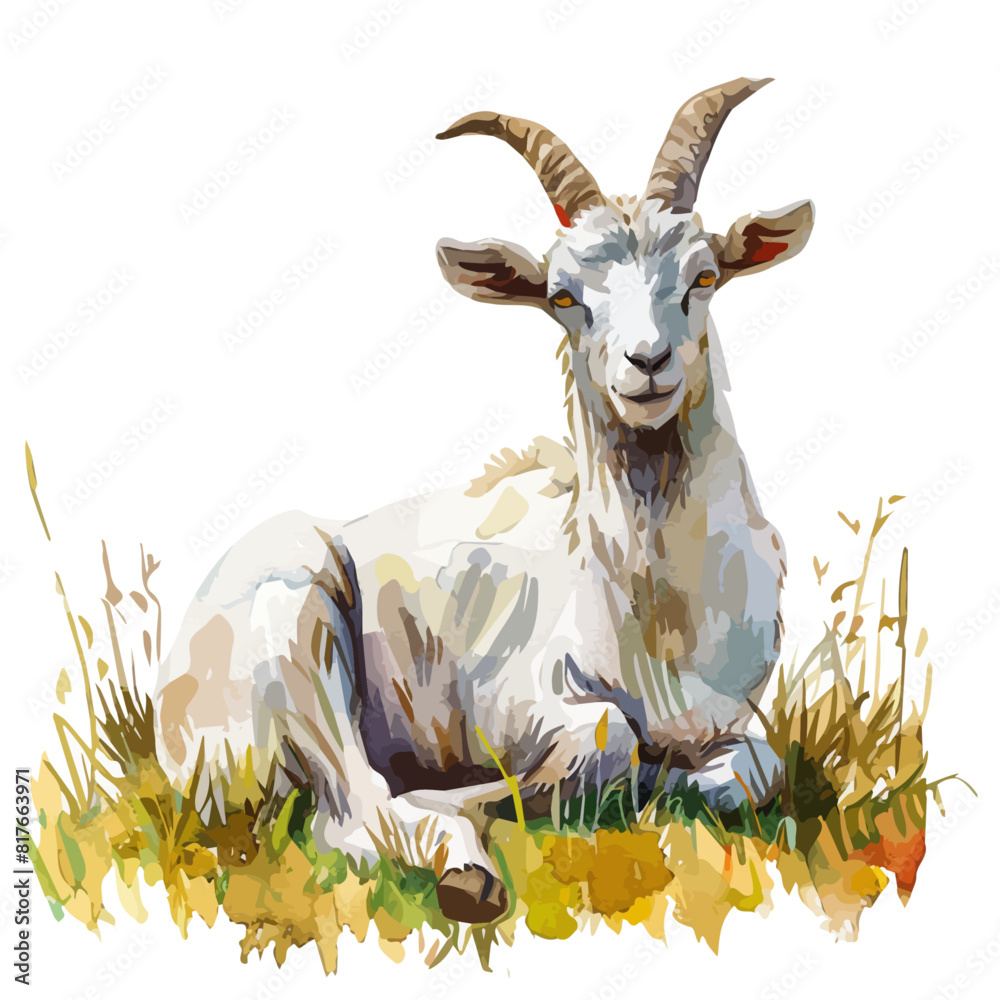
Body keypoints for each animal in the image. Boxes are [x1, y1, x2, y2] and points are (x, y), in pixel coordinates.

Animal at [153, 77, 814, 923]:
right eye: (563, 295)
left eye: (703, 277)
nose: (648, 364)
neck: (660, 617)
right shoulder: (521, 702)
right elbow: (605, 736)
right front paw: (512, 794)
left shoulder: (733, 720)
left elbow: (754, 769)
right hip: (297, 628)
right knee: (350, 812)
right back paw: (466, 868)